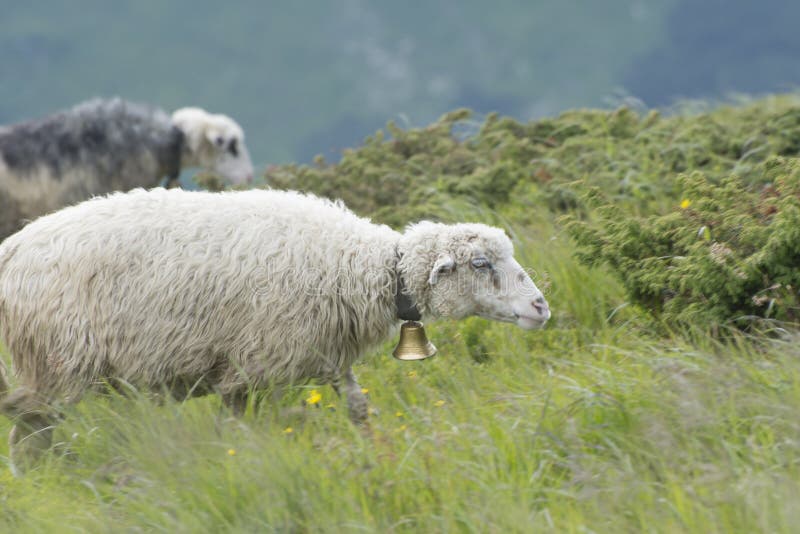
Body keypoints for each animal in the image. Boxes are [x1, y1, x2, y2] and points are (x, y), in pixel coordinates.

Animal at [0, 188, 550, 469]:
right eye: (480, 263)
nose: (541, 307)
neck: (365, 268)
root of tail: (12, 249)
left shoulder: (326, 354)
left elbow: (358, 407)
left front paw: (377, 454)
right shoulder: (253, 364)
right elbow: (239, 428)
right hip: (58, 360)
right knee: (26, 417)